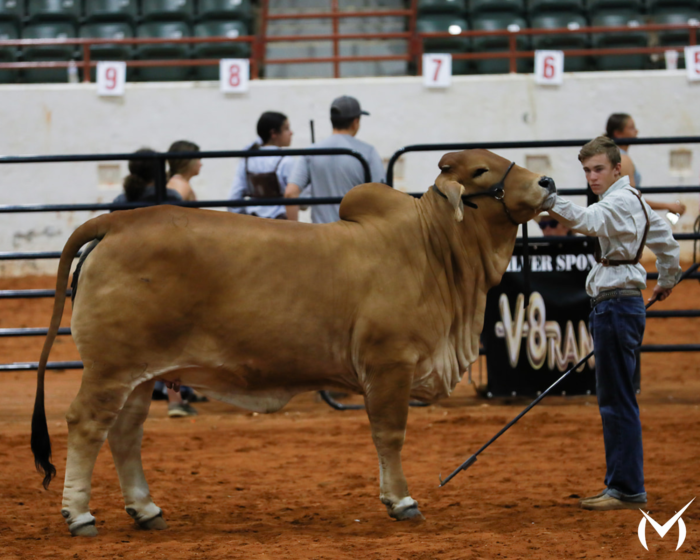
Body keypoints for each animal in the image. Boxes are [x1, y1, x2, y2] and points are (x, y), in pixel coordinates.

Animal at [31, 149, 556, 536]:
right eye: (482, 170)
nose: (548, 182)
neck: (432, 251)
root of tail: (117, 224)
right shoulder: (390, 364)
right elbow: (390, 434)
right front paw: (402, 500)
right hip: (110, 370)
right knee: (86, 425)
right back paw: (80, 515)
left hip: (141, 376)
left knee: (124, 434)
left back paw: (146, 510)